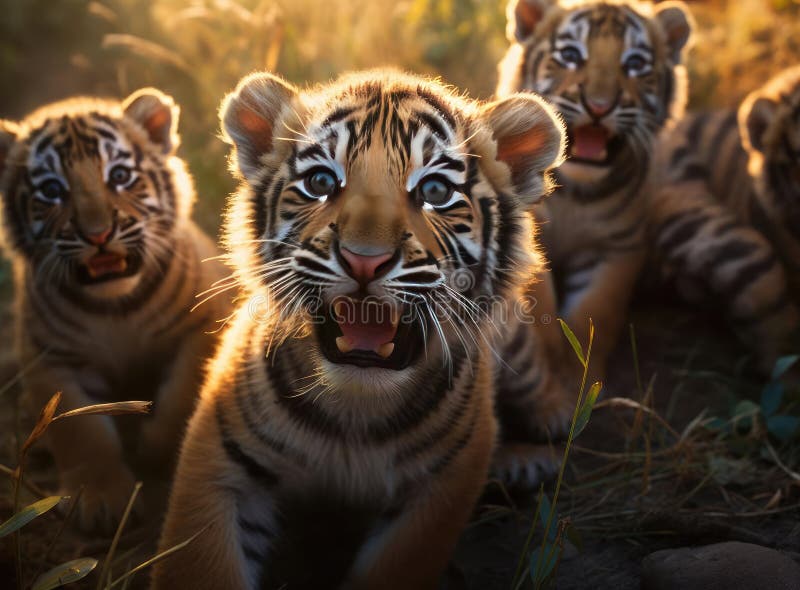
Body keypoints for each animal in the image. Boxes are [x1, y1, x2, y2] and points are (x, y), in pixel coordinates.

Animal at [0, 89, 230, 532]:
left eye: (120, 175)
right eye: (52, 190)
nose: (98, 234)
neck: (116, 308)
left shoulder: (203, 325)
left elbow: (182, 396)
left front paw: (156, 448)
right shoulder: (52, 359)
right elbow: (81, 429)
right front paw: (100, 499)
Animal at [151, 69, 566, 590]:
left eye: (434, 192)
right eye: (321, 182)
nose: (364, 259)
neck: (355, 411)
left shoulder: (439, 489)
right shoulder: (219, 463)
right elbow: (201, 563)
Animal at [497, 0, 693, 382]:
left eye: (635, 63)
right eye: (571, 55)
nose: (599, 107)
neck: (577, 193)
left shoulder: (615, 248)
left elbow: (595, 314)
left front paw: (581, 381)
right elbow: (539, 308)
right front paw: (553, 382)